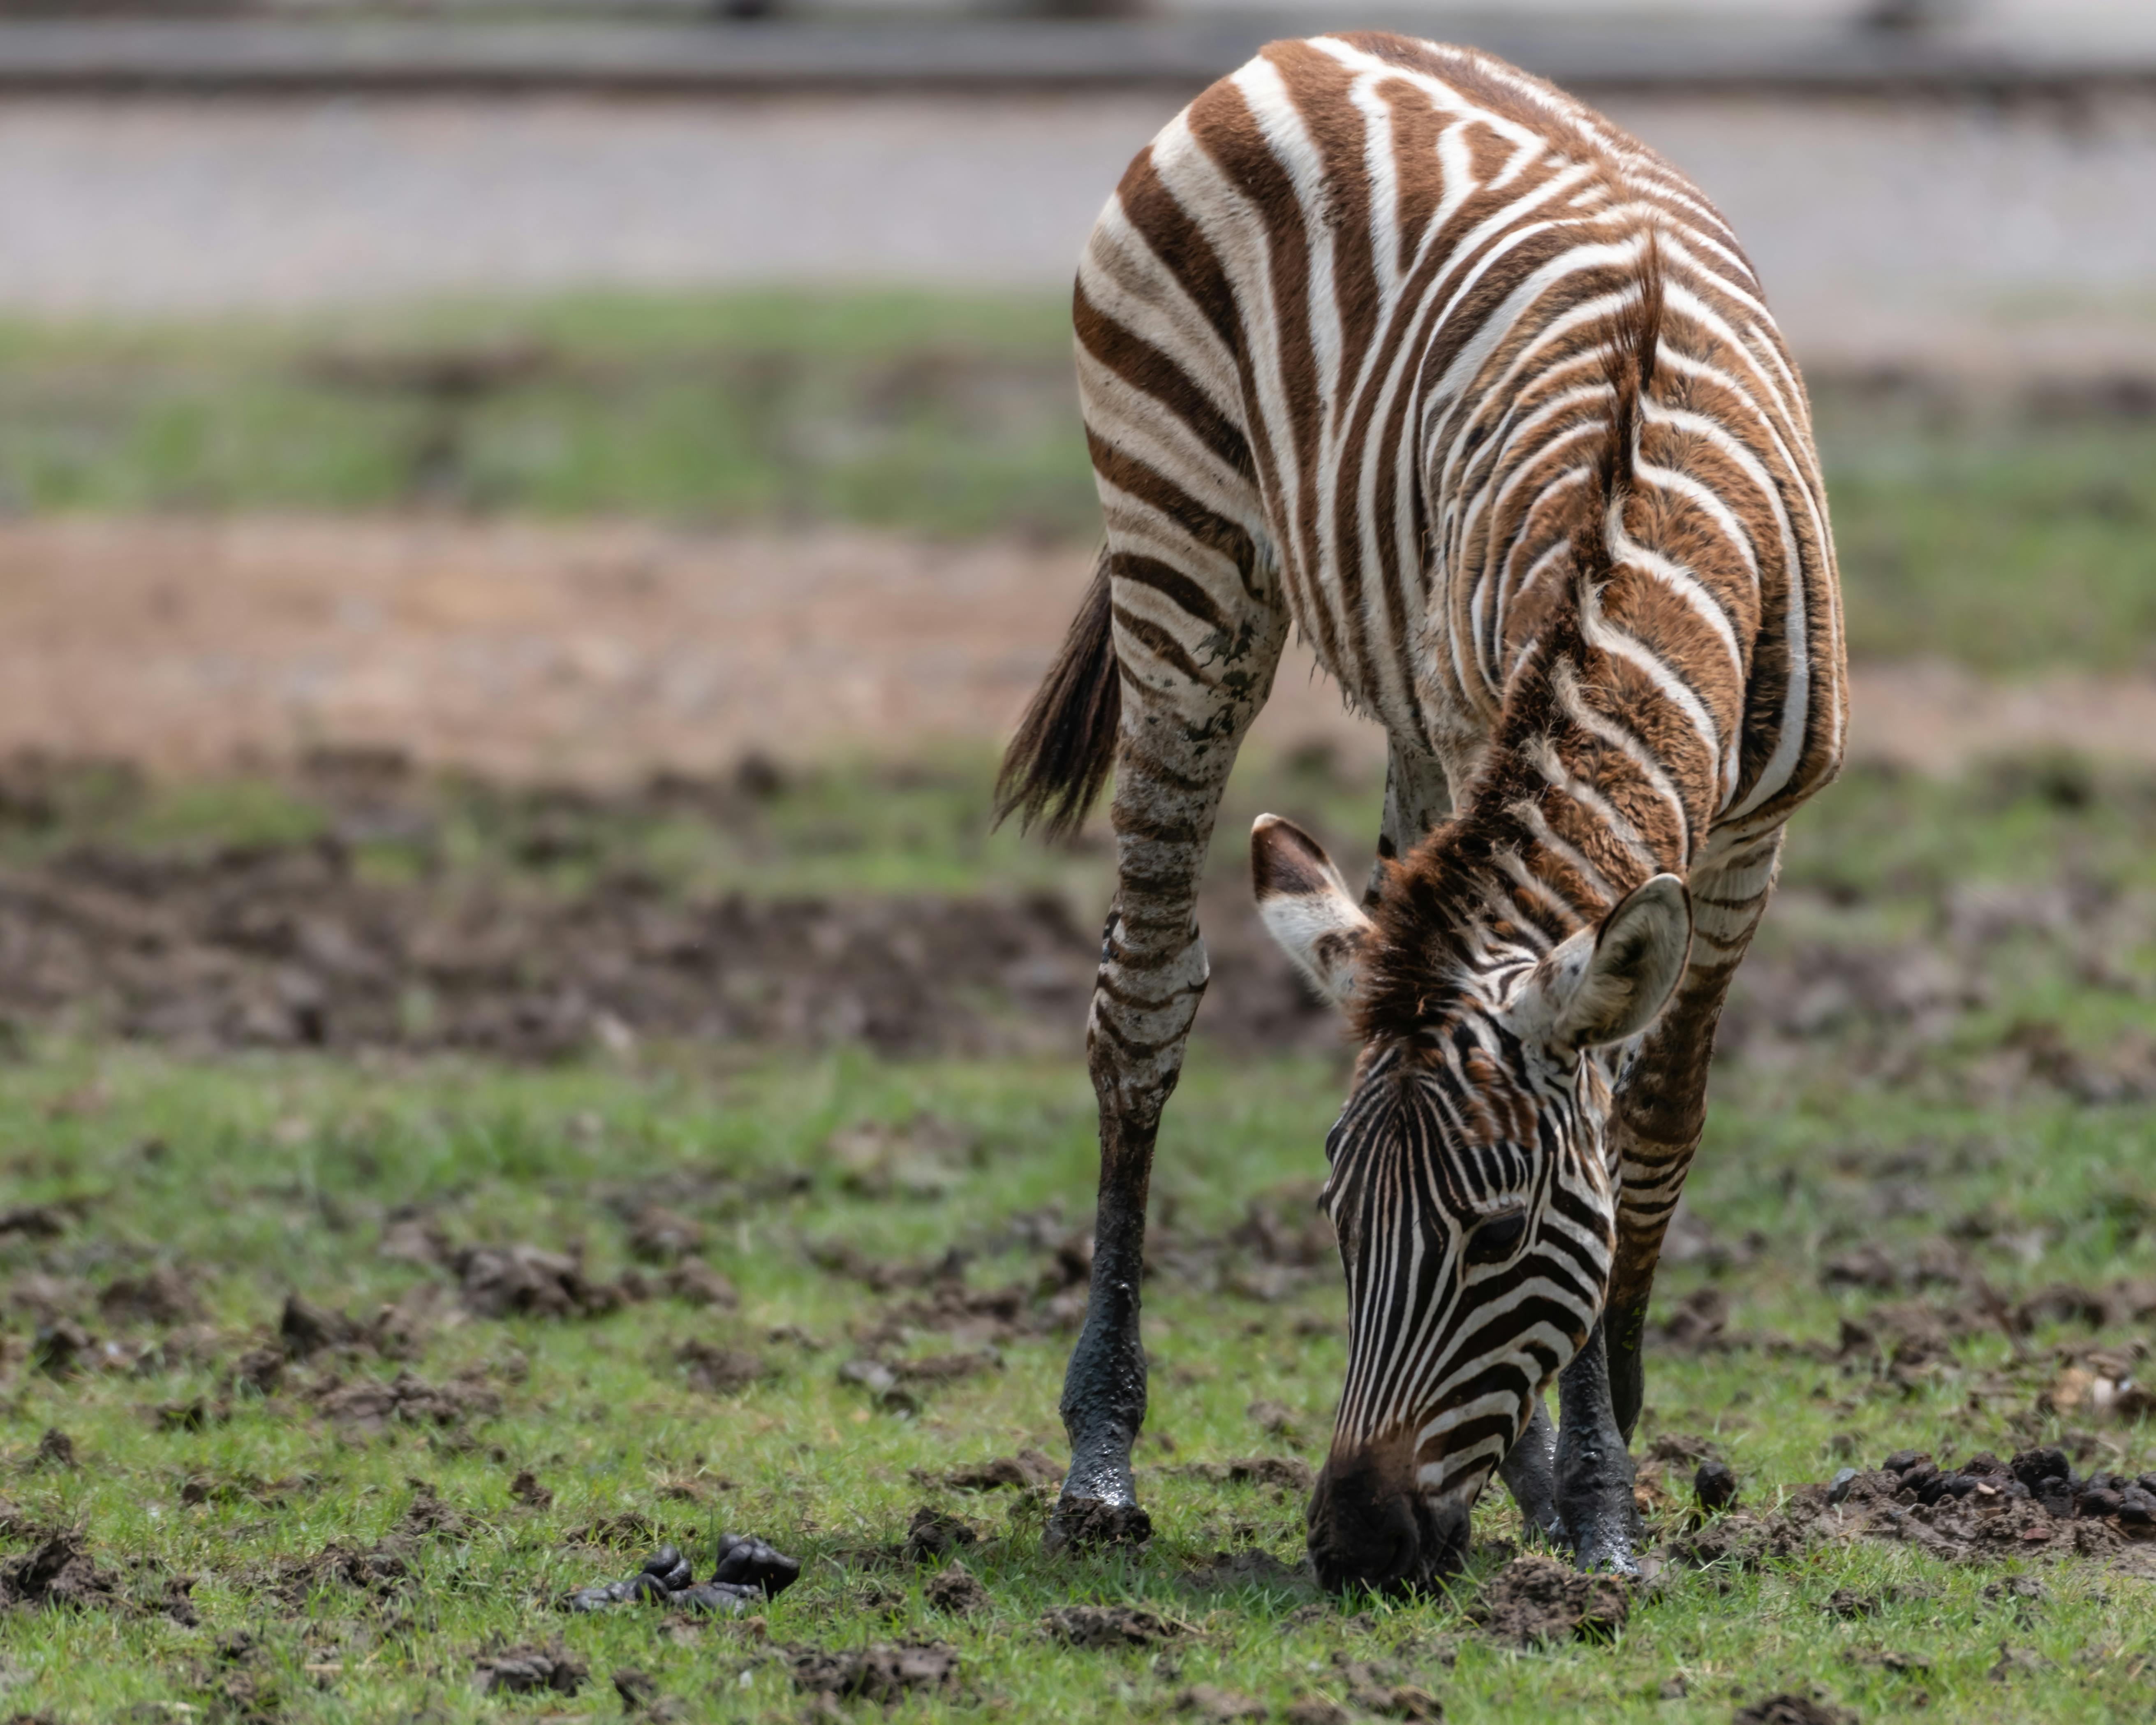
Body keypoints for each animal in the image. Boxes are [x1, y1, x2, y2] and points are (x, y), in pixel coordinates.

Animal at [998, 31, 1844, 1591]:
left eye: (1504, 1236)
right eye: (1336, 1219)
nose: (1355, 1542)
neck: (1648, 518)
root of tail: (1299, 47)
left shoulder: (1752, 841)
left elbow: (1651, 1124)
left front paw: (1599, 1465)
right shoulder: (1480, 738)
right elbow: (1593, 1084)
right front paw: (1587, 1492)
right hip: (1183, 558)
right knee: (1141, 1004)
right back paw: (1099, 1462)